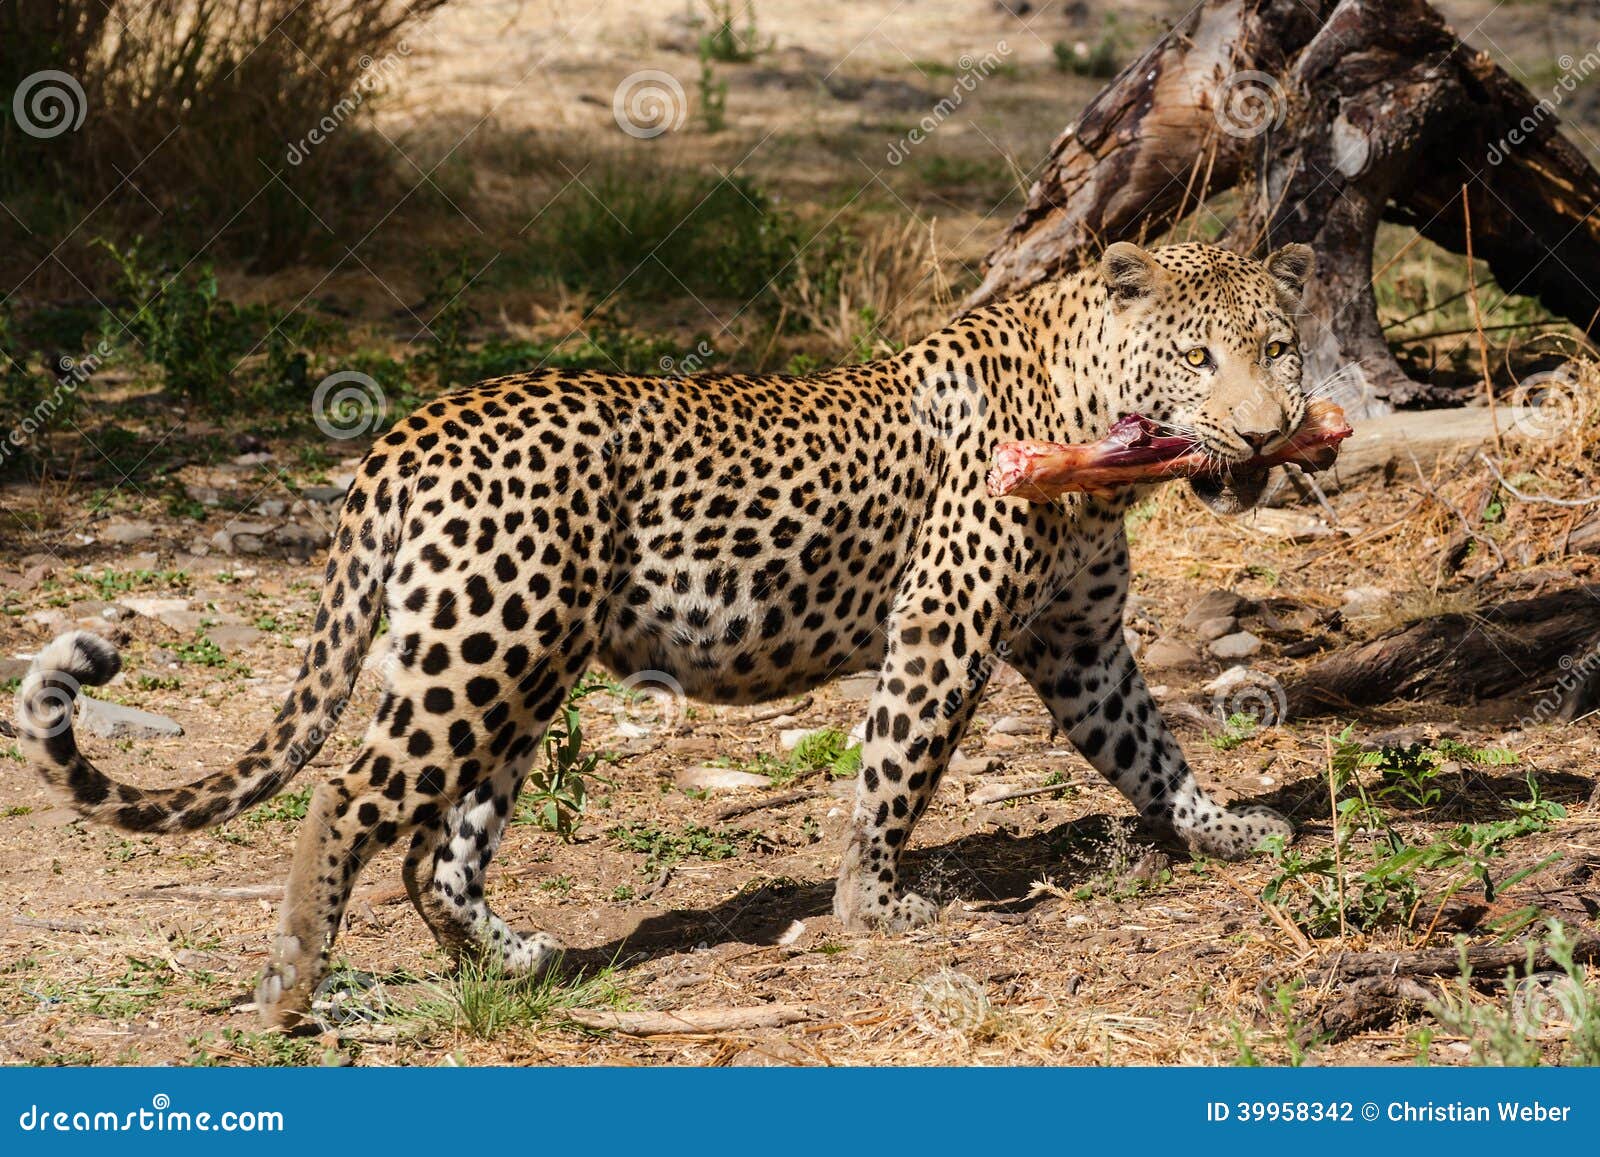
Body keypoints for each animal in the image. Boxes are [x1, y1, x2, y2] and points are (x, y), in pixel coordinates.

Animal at [16, 240, 1314, 1028]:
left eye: (1279, 347)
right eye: (1198, 355)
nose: (1265, 432)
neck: (1096, 436)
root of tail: (409, 431)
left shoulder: (1081, 644)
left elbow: (1149, 748)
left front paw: (1227, 830)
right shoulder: (942, 626)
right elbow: (897, 769)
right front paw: (873, 906)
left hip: (520, 668)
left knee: (437, 848)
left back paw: (510, 960)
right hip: (487, 650)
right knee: (350, 796)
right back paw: (292, 988)